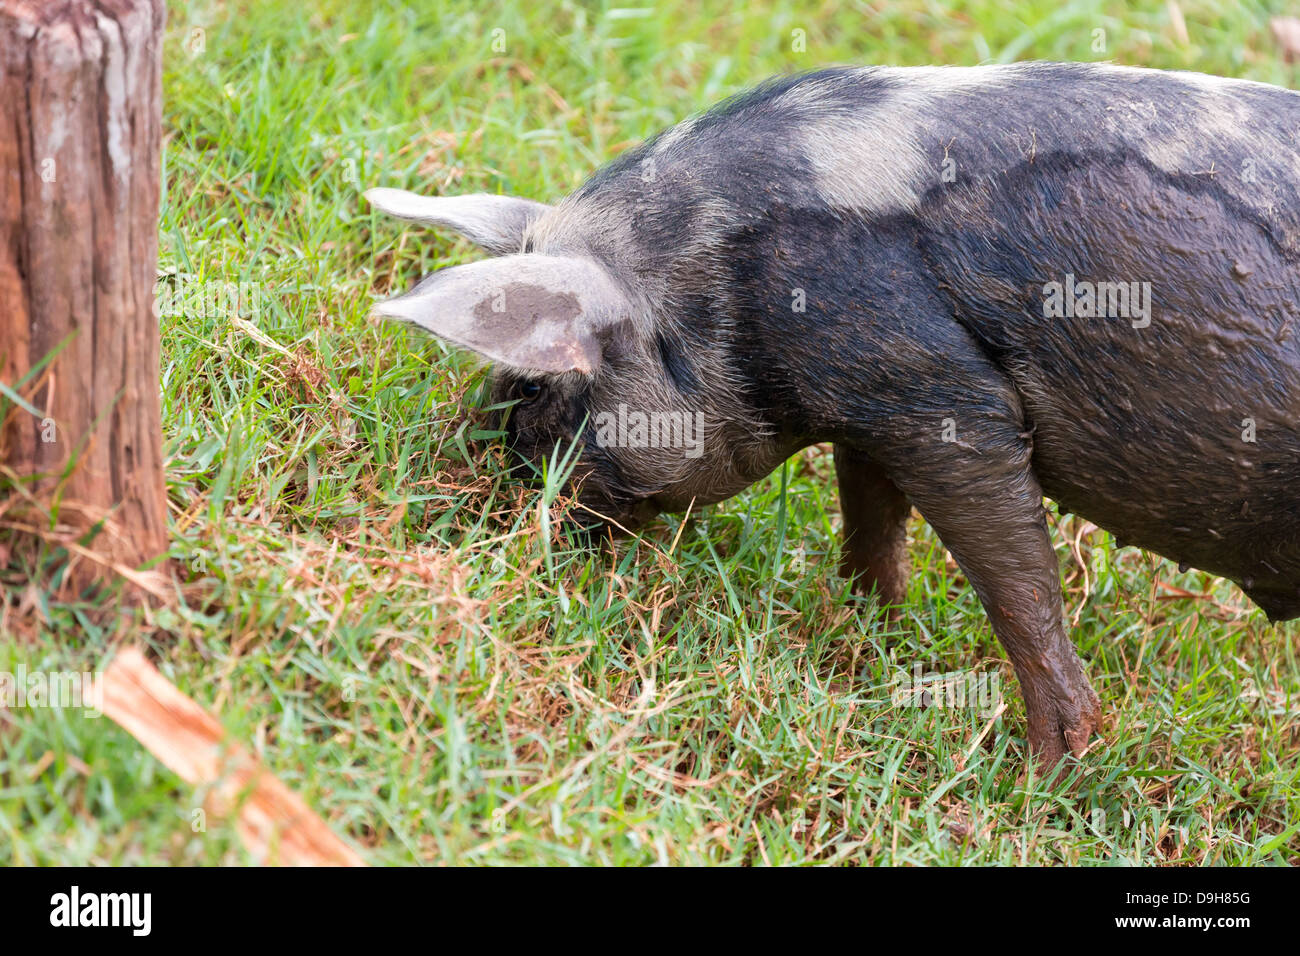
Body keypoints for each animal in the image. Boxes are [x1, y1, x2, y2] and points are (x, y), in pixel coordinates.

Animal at [365, 62, 1300, 772]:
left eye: (530, 389)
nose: (488, 504)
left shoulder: (945, 396)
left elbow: (1018, 591)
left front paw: (1040, 781)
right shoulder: (870, 404)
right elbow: (871, 522)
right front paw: (860, 640)